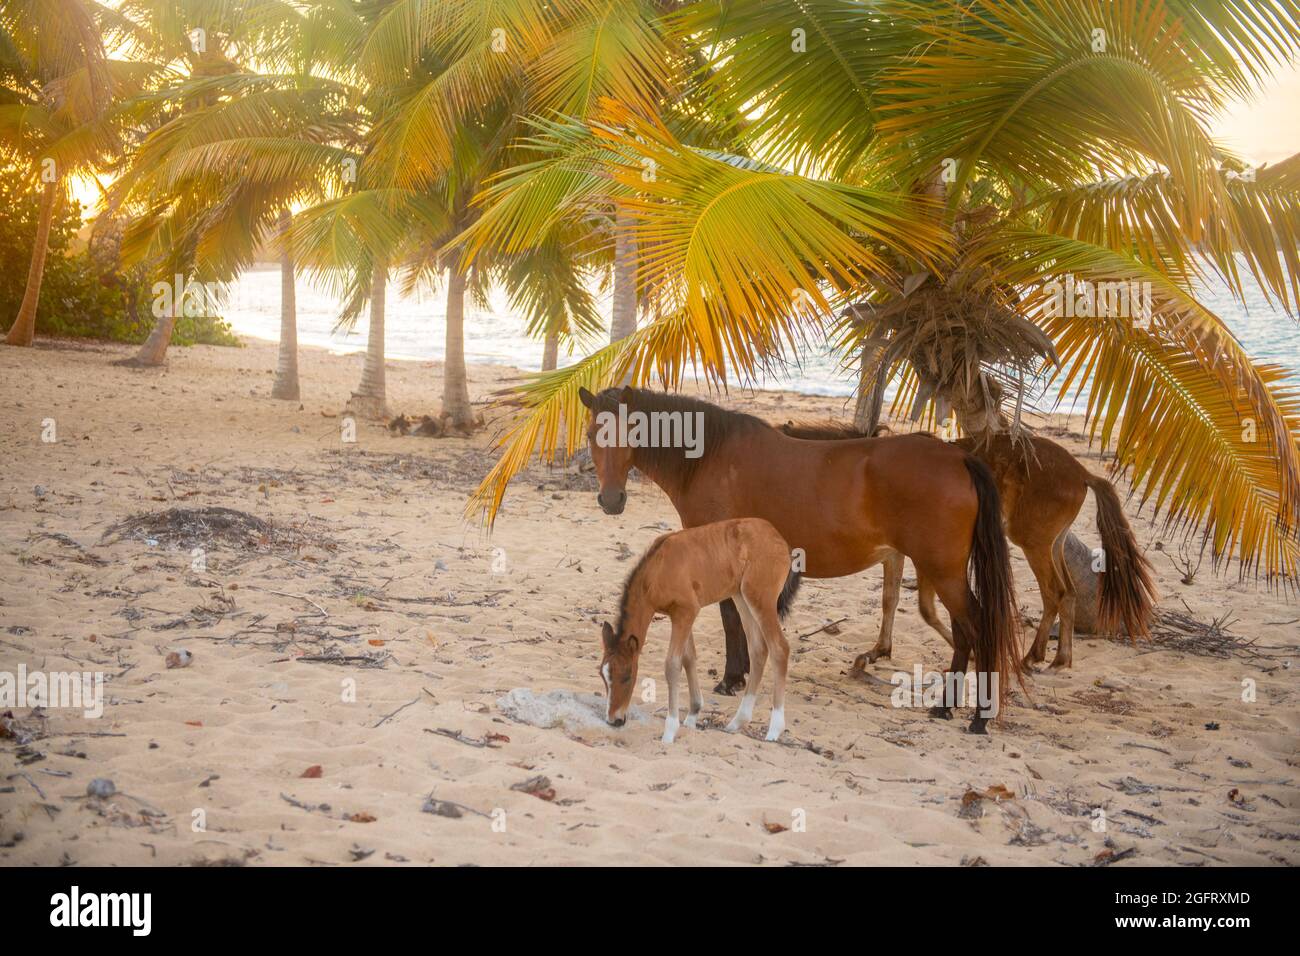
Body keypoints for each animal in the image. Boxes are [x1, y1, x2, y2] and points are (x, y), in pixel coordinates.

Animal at [599, 518, 801, 743]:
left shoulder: (687, 611)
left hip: (761, 598)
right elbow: (688, 658)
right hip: (741, 596)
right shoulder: (678, 616)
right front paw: (692, 714)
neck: (657, 571)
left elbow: (672, 665)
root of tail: (780, 541)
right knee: (758, 649)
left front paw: (670, 731)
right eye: (603, 676)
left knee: (779, 648)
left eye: (627, 676)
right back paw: (737, 722)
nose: (614, 719)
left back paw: (774, 729)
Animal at [779, 421, 1157, 669]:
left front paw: (971, 652)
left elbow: (924, 609)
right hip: (1053, 543)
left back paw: (1039, 657)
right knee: (1069, 593)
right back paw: (1055, 656)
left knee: (1056, 593)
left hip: (1033, 543)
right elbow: (891, 600)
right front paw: (879, 650)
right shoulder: (896, 554)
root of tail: (1081, 472)